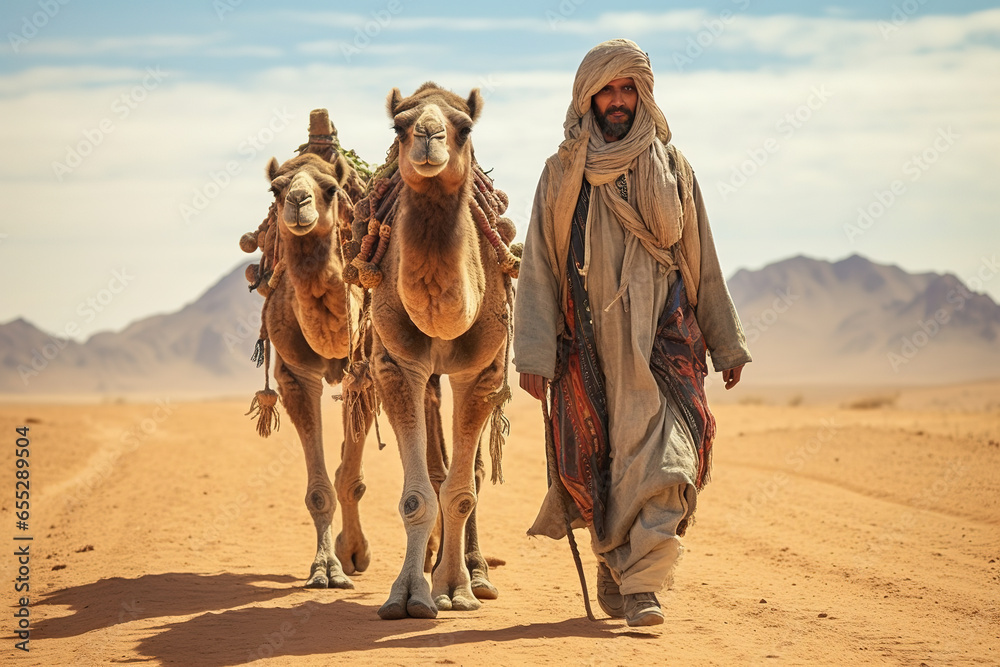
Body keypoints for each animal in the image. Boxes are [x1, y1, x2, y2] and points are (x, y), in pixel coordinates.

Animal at [368, 83, 512, 619]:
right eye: (399, 125)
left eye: (464, 127)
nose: (429, 136)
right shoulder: (396, 366)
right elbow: (418, 495)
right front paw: (408, 594)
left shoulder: (482, 372)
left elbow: (462, 491)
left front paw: (456, 589)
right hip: (428, 377)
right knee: (435, 467)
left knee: (469, 473)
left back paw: (478, 573)